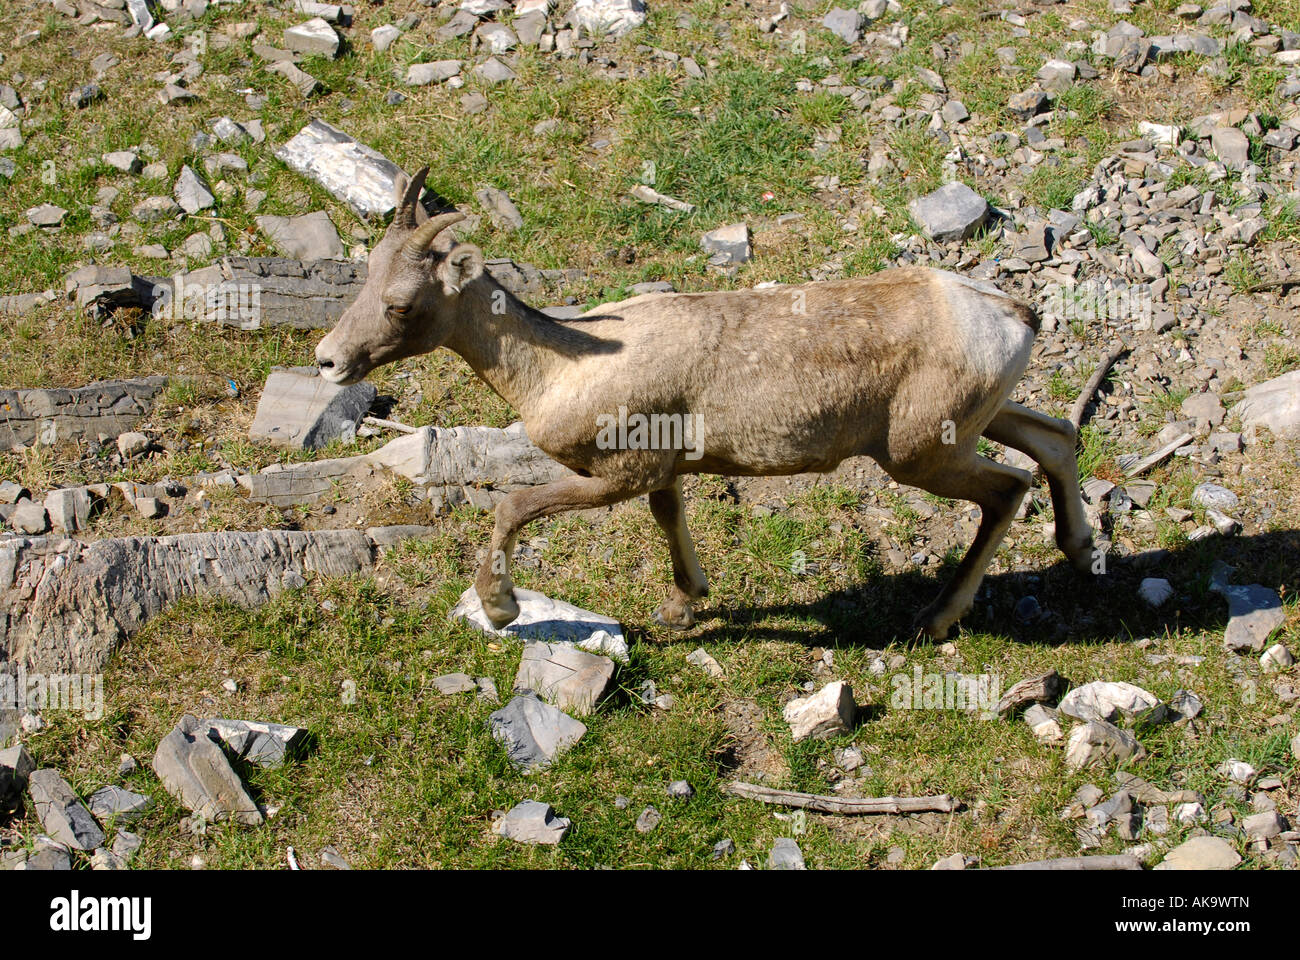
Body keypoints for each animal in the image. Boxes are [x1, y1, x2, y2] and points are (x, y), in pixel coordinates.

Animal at [316, 168, 1097, 639]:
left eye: (401, 303)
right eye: (364, 278)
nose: (328, 360)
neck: (563, 367)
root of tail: (1013, 316)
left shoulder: (616, 475)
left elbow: (513, 504)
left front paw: (502, 609)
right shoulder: (664, 472)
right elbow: (670, 517)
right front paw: (681, 605)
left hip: (921, 453)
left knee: (1009, 487)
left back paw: (936, 619)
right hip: (970, 424)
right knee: (1055, 436)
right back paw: (1081, 549)